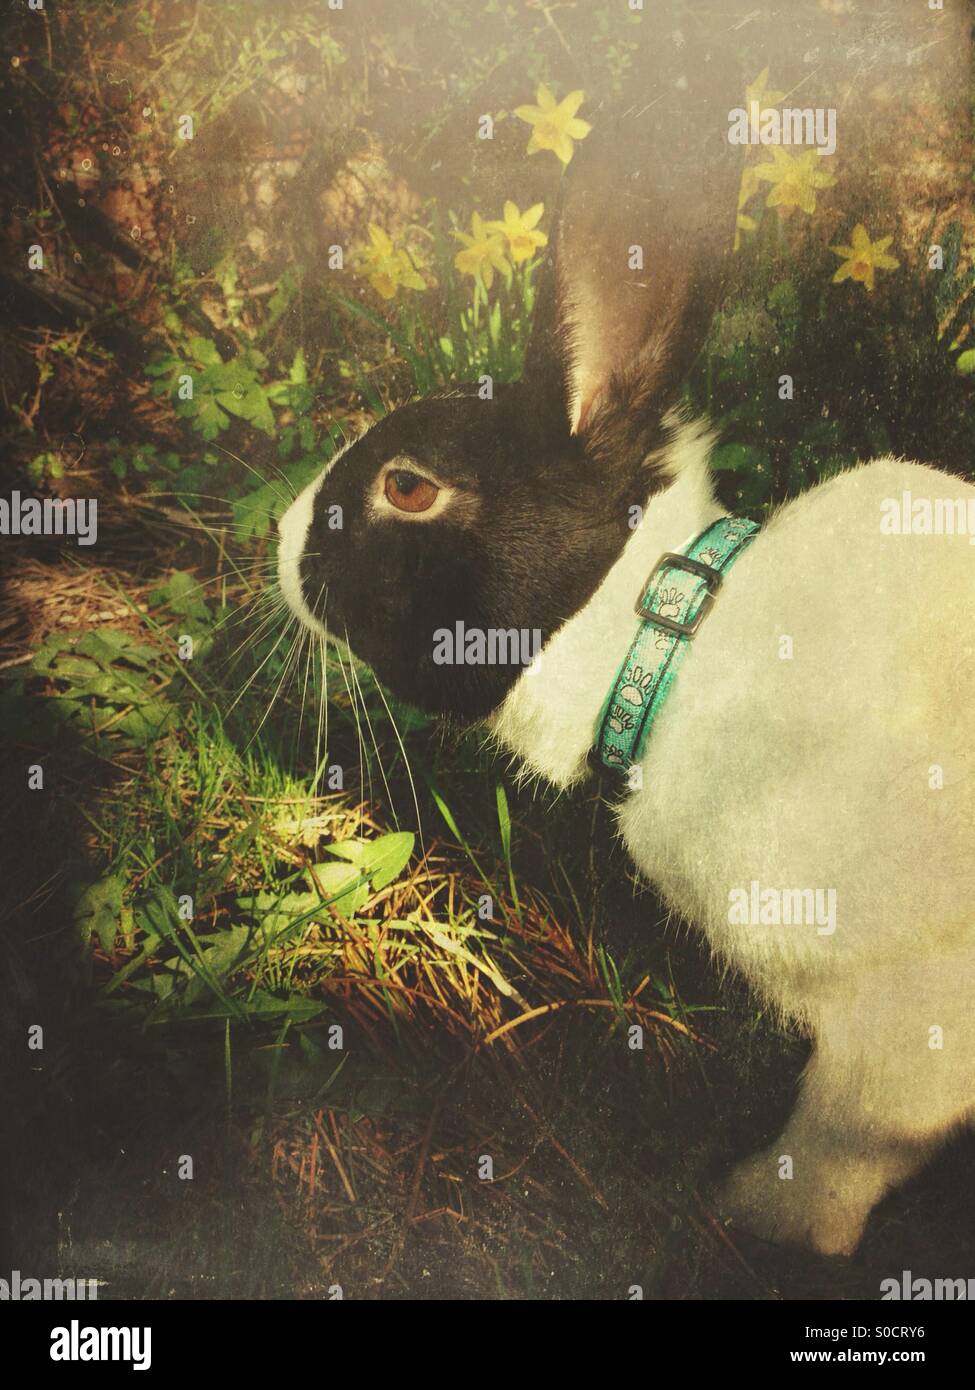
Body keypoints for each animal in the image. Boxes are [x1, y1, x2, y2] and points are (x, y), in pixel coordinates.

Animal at [277, 19, 975, 1256]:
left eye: (408, 487)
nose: (272, 538)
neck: (677, 640)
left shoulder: (902, 1034)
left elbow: (847, 1144)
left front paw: (757, 1213)